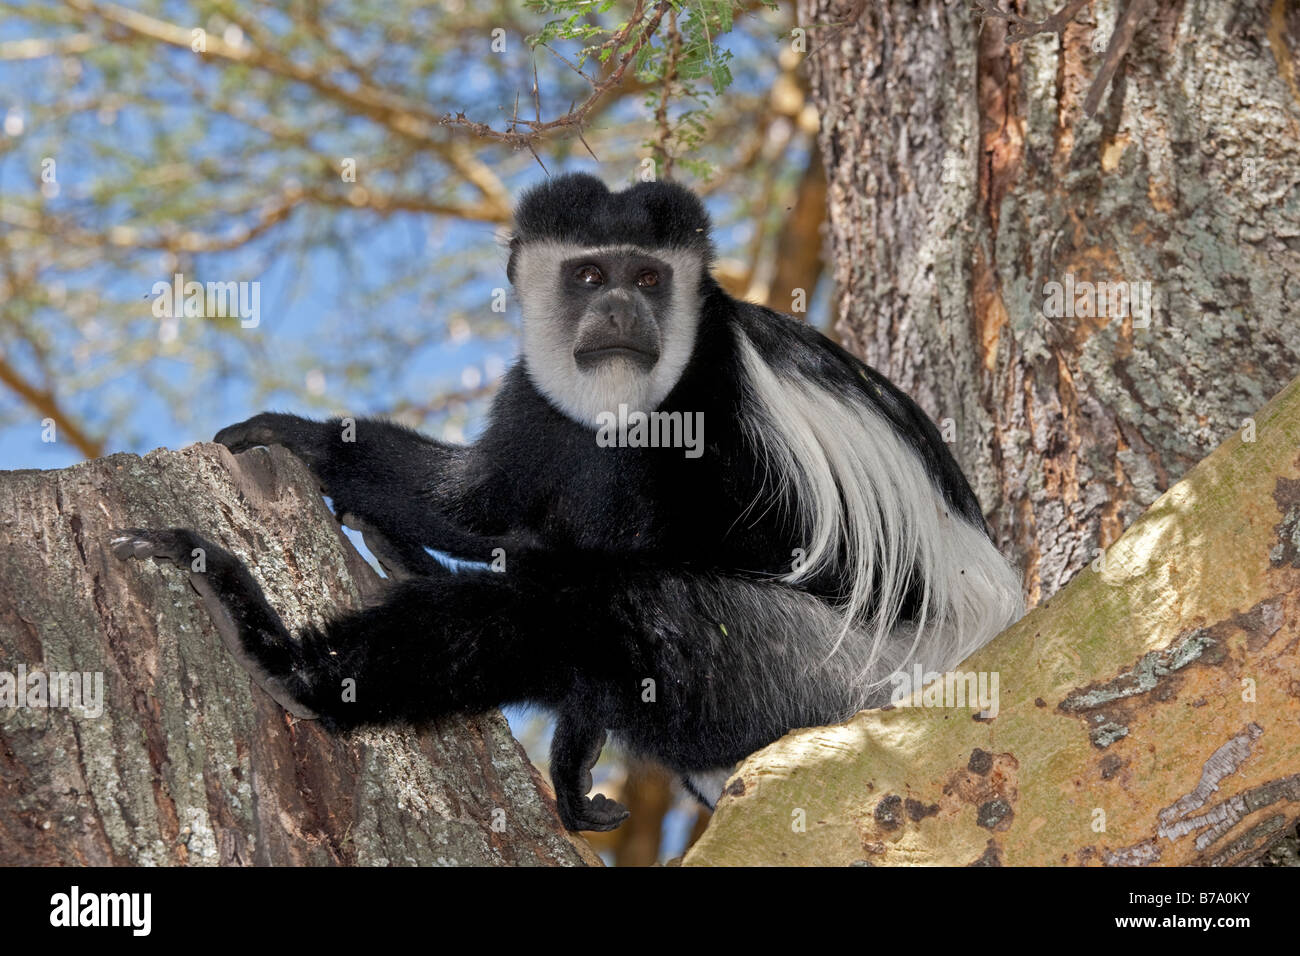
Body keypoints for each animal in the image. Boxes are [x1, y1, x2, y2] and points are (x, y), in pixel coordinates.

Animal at [111, 172, 1024, 832]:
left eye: (647, 276)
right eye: (590, 274)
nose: (619, 307)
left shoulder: (727, 402)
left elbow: (790, 555)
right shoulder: (534, 401)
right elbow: (472, 504)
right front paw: (304, 440)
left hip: (826, 673)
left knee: (599, 610)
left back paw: (283, 661)